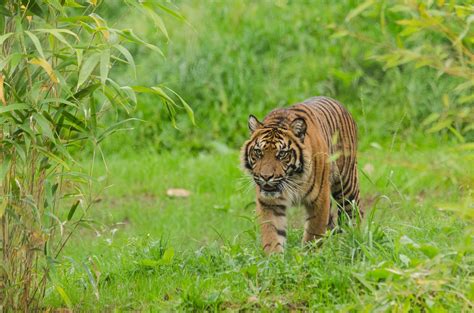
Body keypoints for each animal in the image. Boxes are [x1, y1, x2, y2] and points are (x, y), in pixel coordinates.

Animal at [243, 95, 362, 254]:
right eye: (258, 152)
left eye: (282, 154)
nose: (265, 177)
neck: (293, 178)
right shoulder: (269, 203)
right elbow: (272, 234)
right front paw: (274, 258)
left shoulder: (320, 199)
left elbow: (314, 233)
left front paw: (308, 255)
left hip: (347, 185)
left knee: (354, 213)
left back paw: (354, 239)